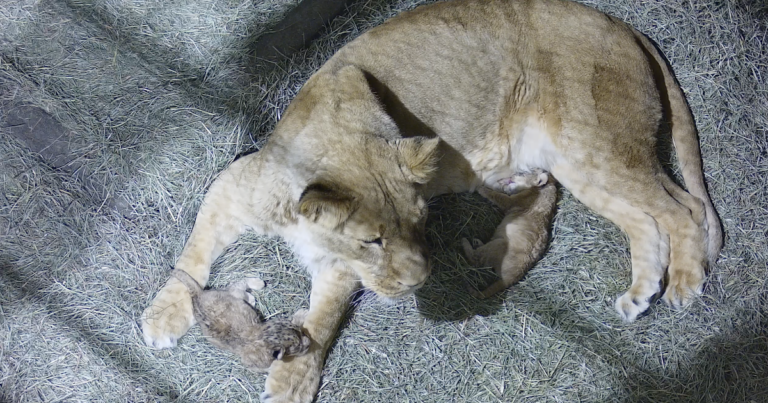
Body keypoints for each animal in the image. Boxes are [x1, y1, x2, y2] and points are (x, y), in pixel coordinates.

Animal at [462, 170, 557, 299]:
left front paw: (480, 187)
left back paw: (464, 241)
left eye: (522, 173)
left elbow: (497, 195)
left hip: (500, 243)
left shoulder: (511, 202)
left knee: (475, 258)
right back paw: (477, 242)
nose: (511, 174)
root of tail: (510, 279)